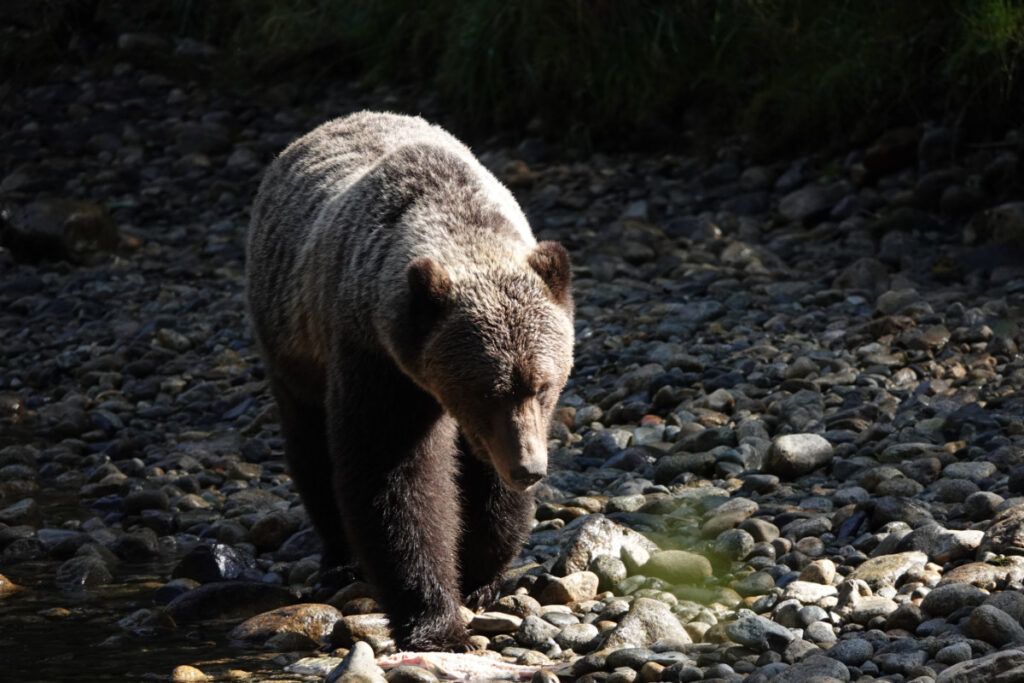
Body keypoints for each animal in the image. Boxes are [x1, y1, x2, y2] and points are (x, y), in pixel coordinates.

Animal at [245, 111, 574, 651]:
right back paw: (338, 557)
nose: (529, 468)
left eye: (543, 386)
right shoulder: (376, 359)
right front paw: (437, 621)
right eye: (485, 391)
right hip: (291, 343)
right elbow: (393, 481)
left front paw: (482, 572)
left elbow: (484, 481)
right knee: (311, 448)